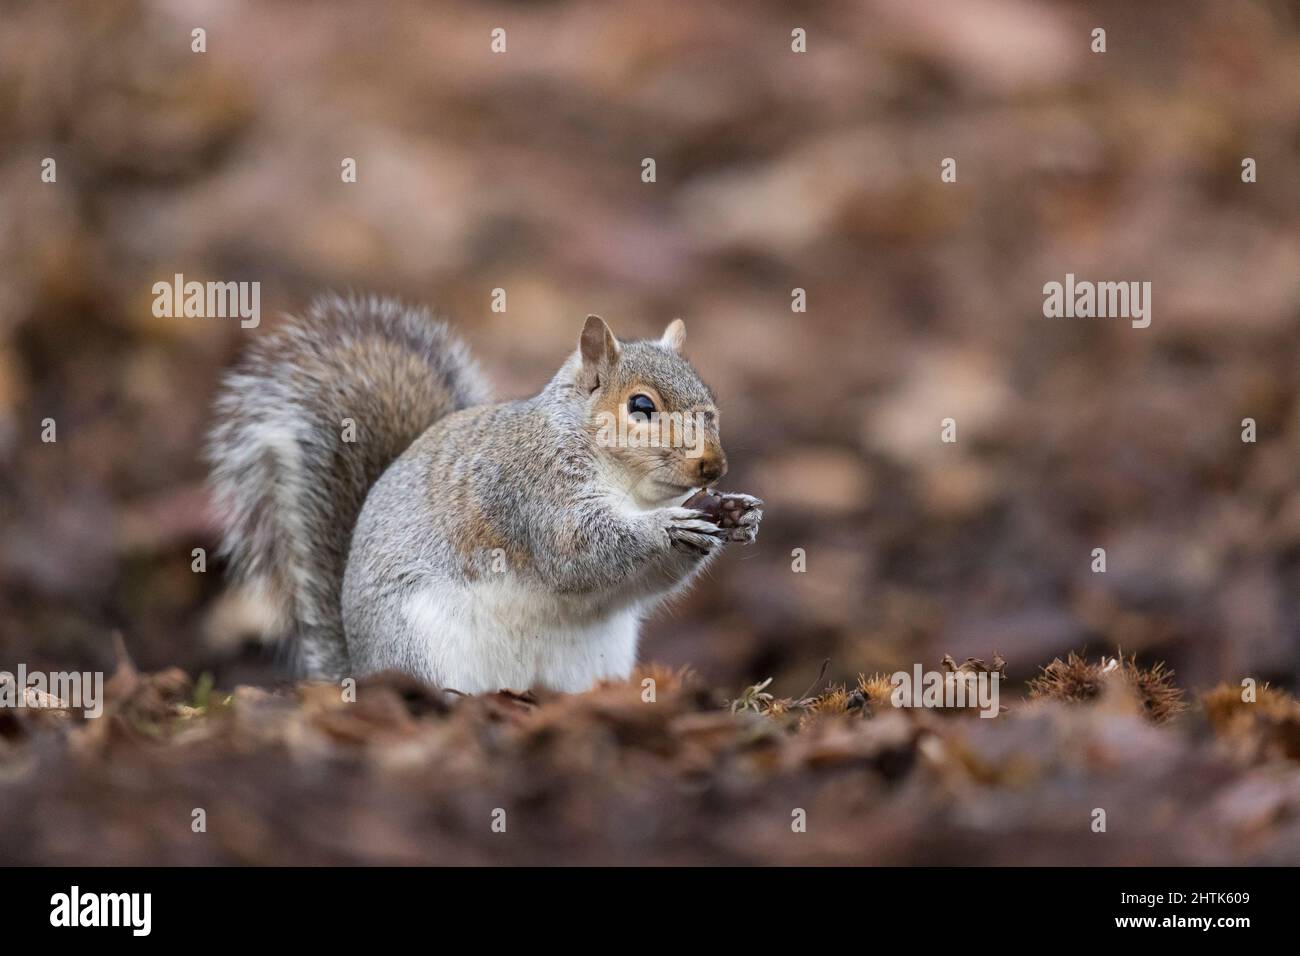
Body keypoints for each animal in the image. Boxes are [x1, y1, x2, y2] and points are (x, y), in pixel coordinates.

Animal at [206, 294, 763, 693]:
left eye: (710, 401)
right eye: (641, 407)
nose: (714, 465)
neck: (631, 489)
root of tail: (361, 670)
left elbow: (642, 582)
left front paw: (735, 513)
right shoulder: (530, 490)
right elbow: (576, 551)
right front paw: (665, 527)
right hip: (421, 645)